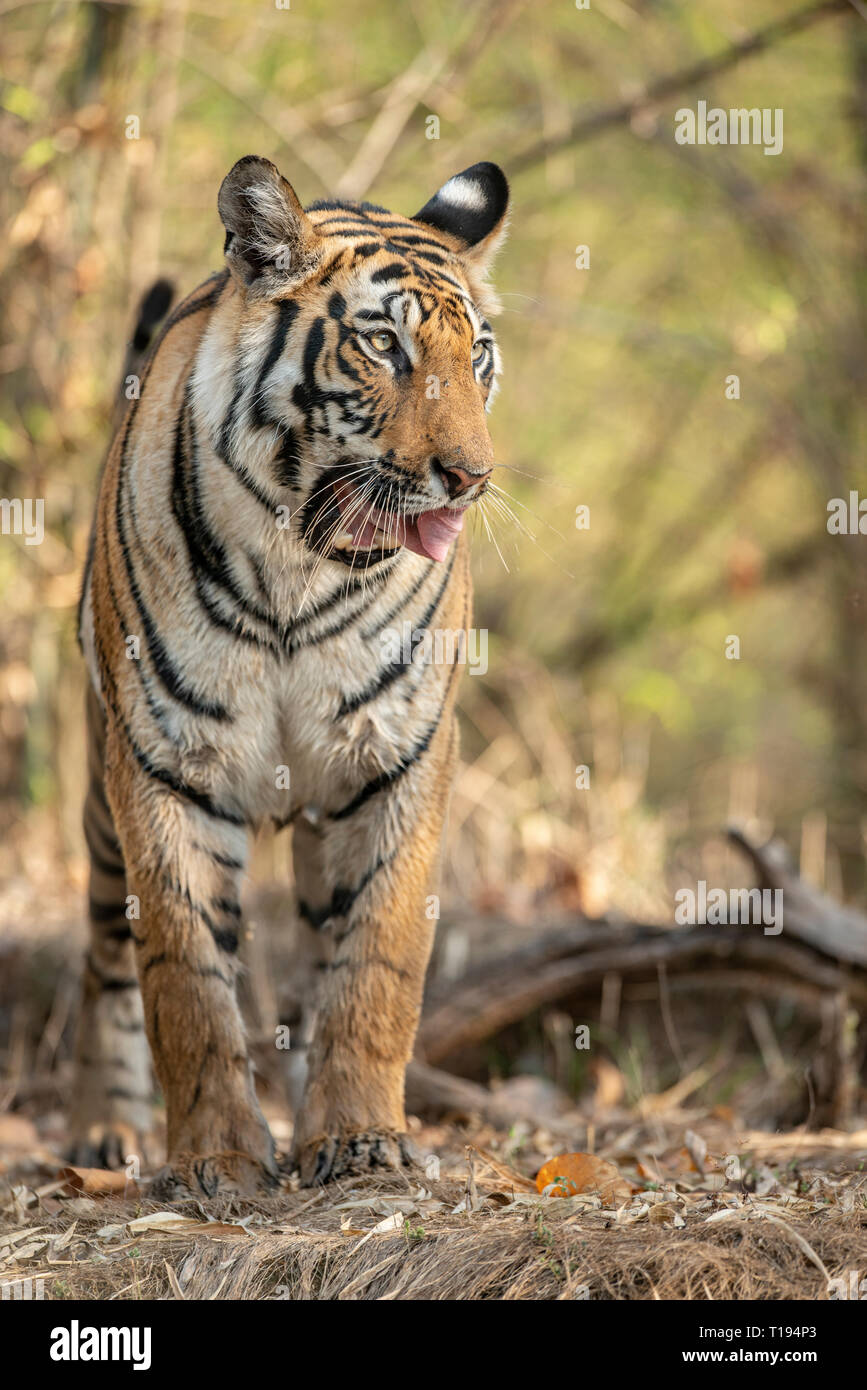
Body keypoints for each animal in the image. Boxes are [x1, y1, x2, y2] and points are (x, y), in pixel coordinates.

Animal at [72, 154, 510, 1194]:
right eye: (384, 345)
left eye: (477, 356)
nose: (470, 477)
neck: (299, 567)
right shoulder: (163, 763)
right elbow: (184, 978)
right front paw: (218, 1158)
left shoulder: (399, 757)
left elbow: (379, 960)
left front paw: (358, 1137)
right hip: (99, 800)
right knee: (105, 960)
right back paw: (104, 1130)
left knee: (320, 951)